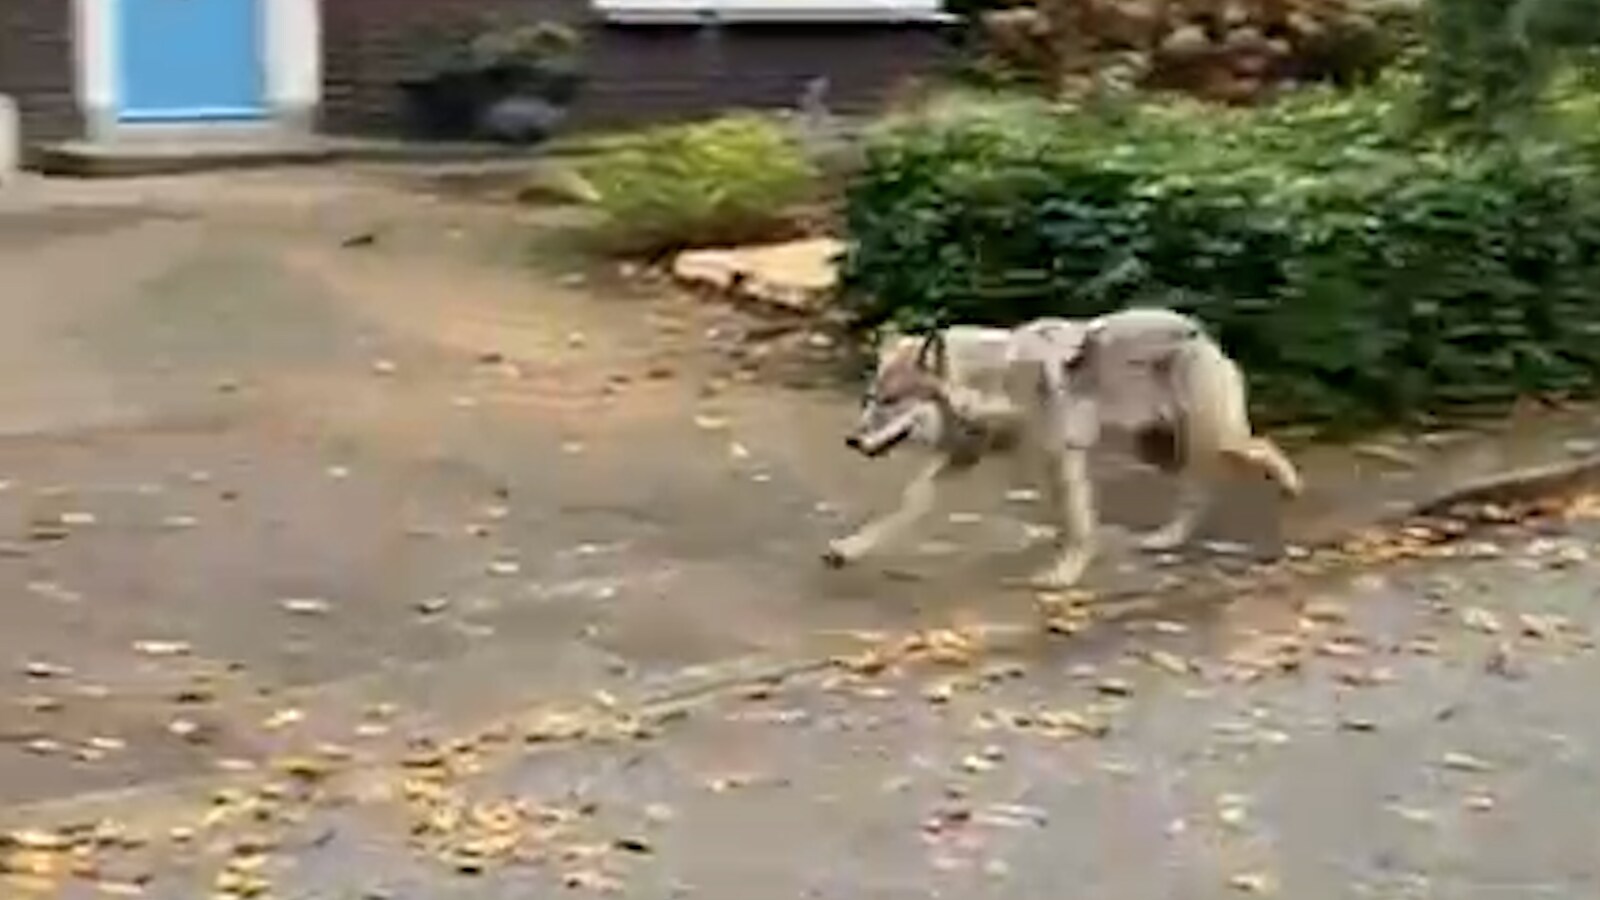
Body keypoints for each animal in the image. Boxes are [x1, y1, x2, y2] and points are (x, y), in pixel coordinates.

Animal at [826, 307, 1303, 589]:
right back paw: (1166, 538)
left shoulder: (1059, 458)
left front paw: (1065, 573)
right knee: (1201, 487)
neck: (993, 384)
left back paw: (1289, 486)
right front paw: (849, 548)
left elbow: (1077, 523)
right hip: (1157, 449)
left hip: (1201, 441)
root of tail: (1198, 331)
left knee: (1256, 448)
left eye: (891, 402)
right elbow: (905, 506)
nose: (851, 440)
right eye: (869, 399)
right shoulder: (966, 458)